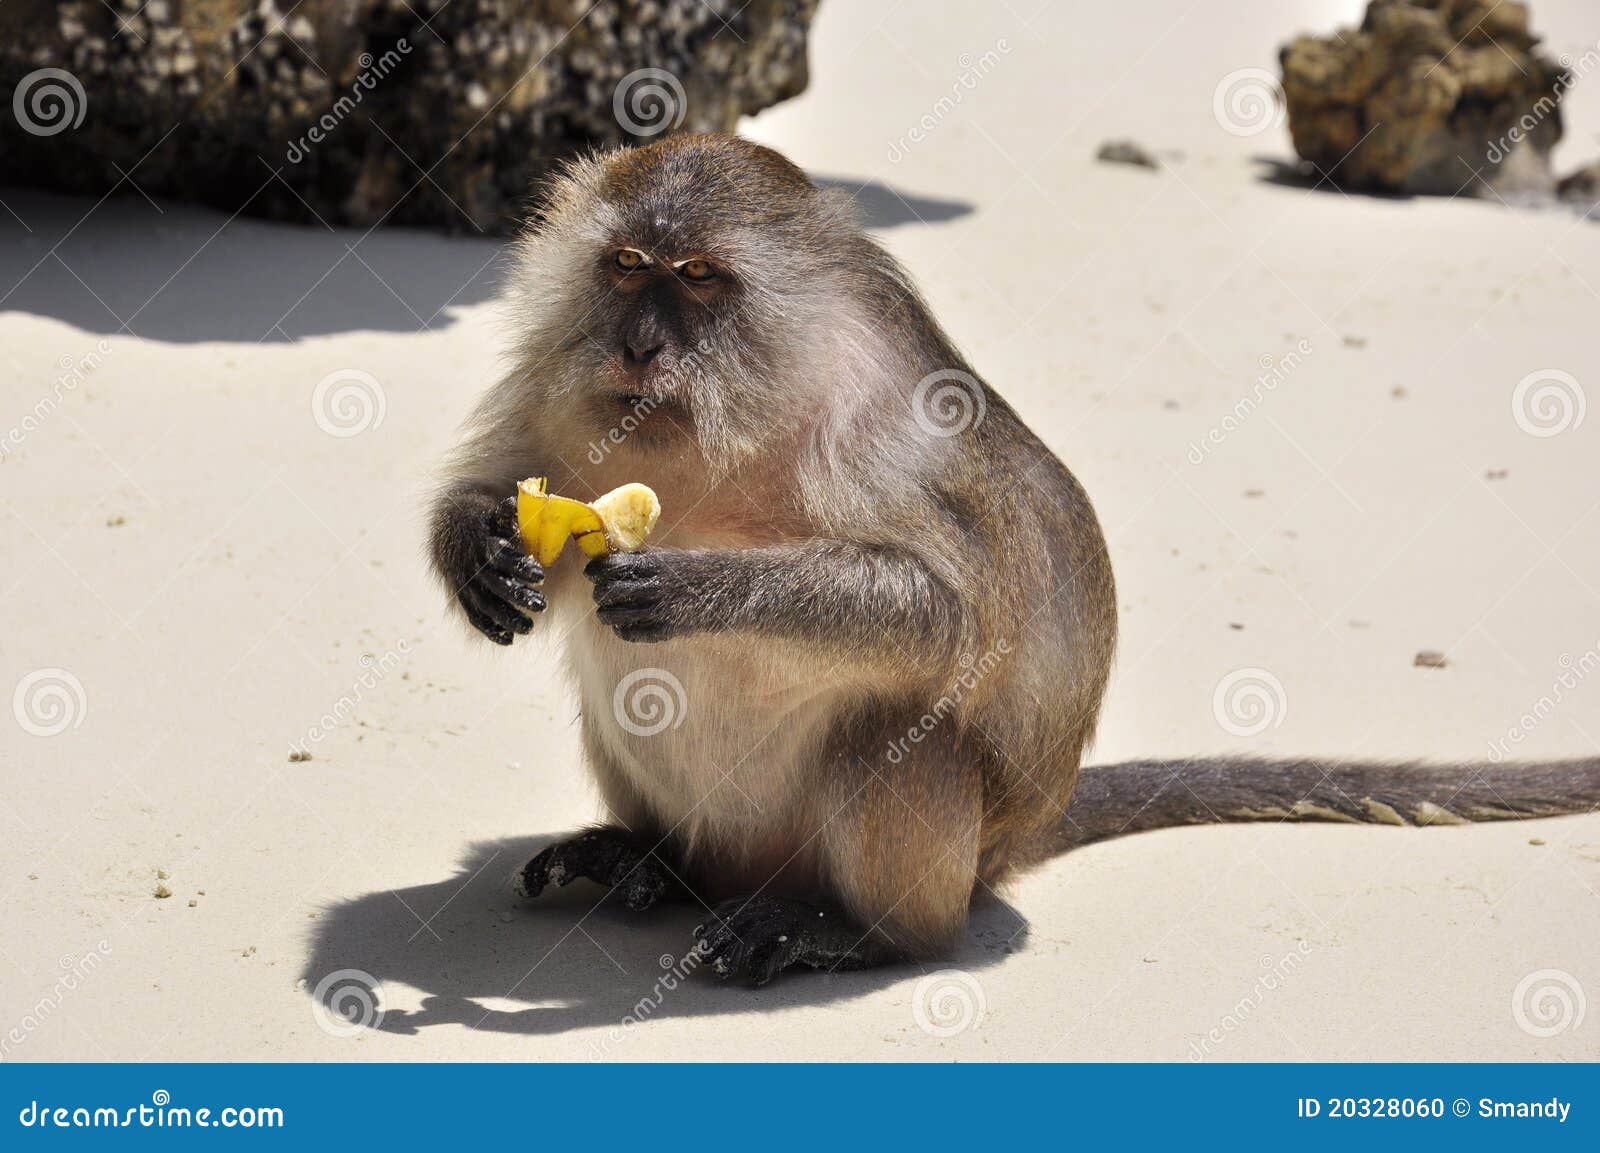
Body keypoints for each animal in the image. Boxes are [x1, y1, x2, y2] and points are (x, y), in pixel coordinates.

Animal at [428, 132, 1600, 986]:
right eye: (628, 266)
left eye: (702, 277)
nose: (639, 347)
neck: (735, 417)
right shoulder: (562, 384)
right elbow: (504, 482)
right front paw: (483, 546)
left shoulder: (885, 431)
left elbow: (948, 619)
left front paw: (699, 586)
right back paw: (660, 862)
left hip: (928, 856)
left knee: (897, 729)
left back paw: (858, 934)